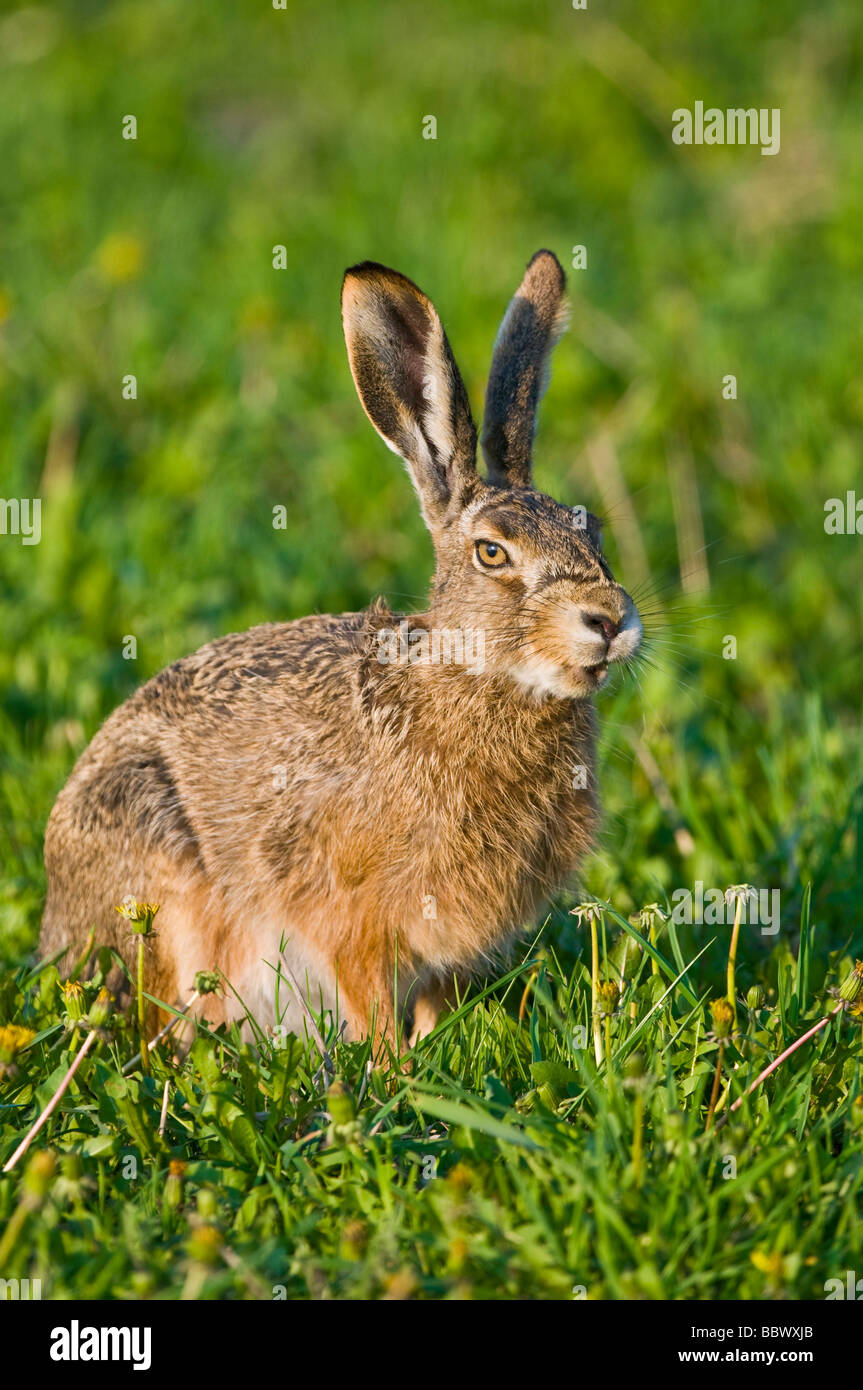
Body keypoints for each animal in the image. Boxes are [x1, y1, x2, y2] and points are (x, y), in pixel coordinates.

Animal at [40, 249, 642, 1053]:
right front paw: (394, 1070)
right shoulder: (350, 919)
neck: (477, 679)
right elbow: (371, 1001)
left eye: (594, 533)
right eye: (491, 553)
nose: (609, 619)